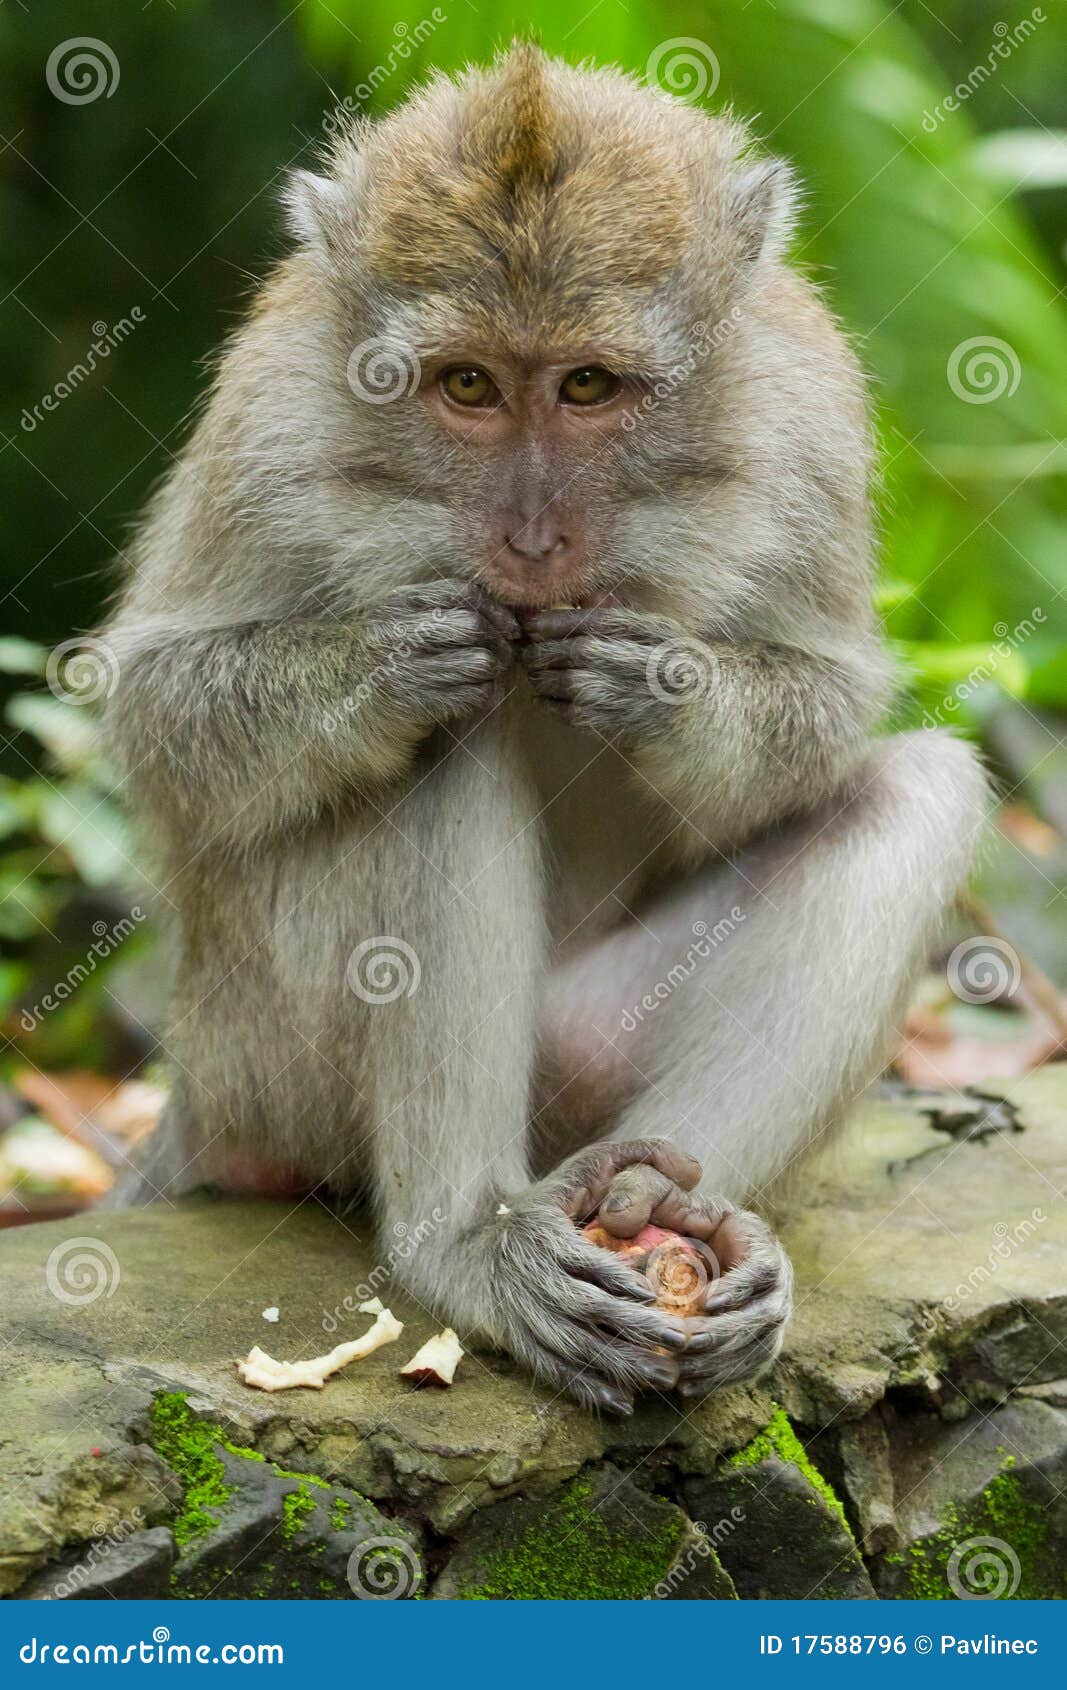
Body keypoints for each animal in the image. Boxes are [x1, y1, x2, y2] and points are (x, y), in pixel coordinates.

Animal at [98, 46, 987, 1415]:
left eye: (586, 385)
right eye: (467, 384)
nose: (526, 542)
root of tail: (196, 1088)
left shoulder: (807, 417)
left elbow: (832, 694)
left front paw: (666, 684)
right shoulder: (272, 413)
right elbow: (153, 701)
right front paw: (382, 667)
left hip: (578, 1064)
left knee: (916, 792)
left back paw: (676, 1206)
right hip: (264, 1049)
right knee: (450, 747)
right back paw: (463, 1235)